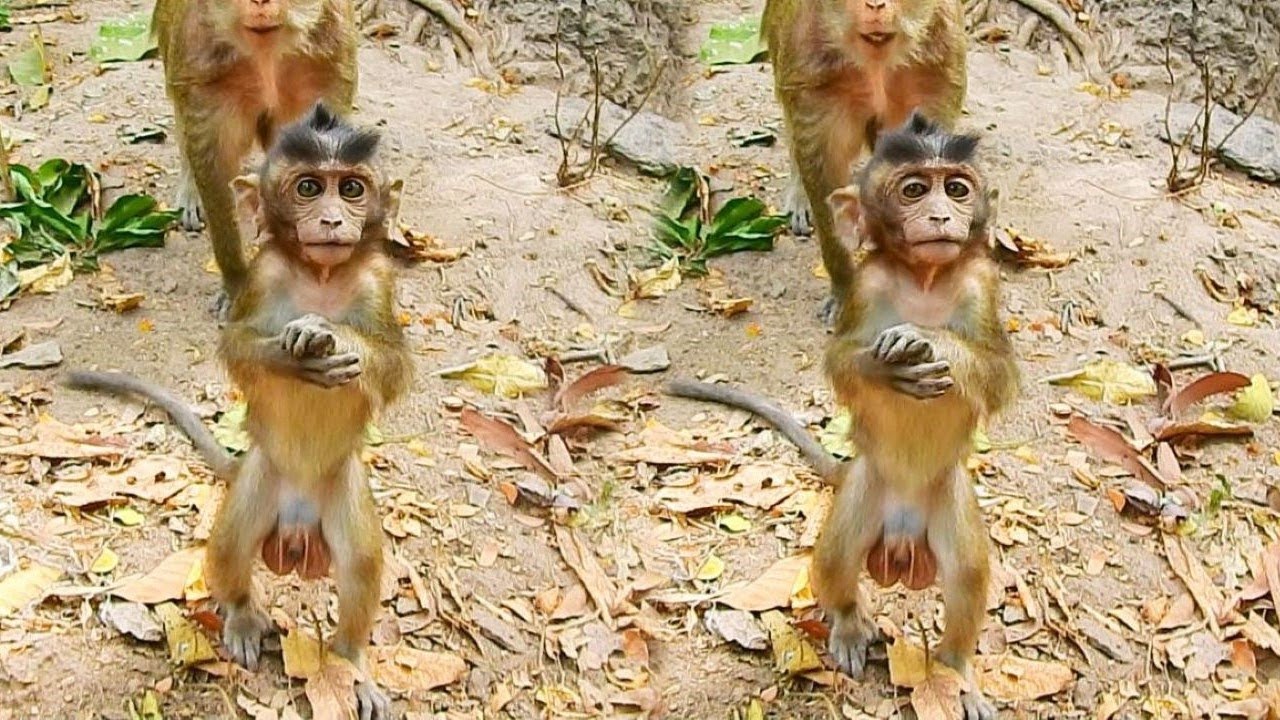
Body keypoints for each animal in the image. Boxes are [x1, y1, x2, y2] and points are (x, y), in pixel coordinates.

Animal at [68, 105, 409, 720]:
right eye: (308, 188)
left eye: (351, 188)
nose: (330, 220)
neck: (319, 276)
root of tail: (297, 528)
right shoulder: (261, 277)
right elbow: (236, 348)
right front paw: (291, 351)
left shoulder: (379, 283)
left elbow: (392, 366)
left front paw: (331, 335)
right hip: (259, 478)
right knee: (227, 548)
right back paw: (244, 615)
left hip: (342, 486)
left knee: (362, 566)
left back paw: (351, 661)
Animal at [667, 114, 1015, 720]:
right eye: (914, 190)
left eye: (956, 187)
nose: (941, 216)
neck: (924, 279)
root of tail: (902, 538)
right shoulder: (866, 286)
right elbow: (839, 363)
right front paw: (883, 366)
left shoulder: (981, 286)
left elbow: (998, 377)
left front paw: (927, 340)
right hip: (863, 488)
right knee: (832, 559)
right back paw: (850, 622)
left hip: (948, 497)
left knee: (969, 575)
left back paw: (956, 670)